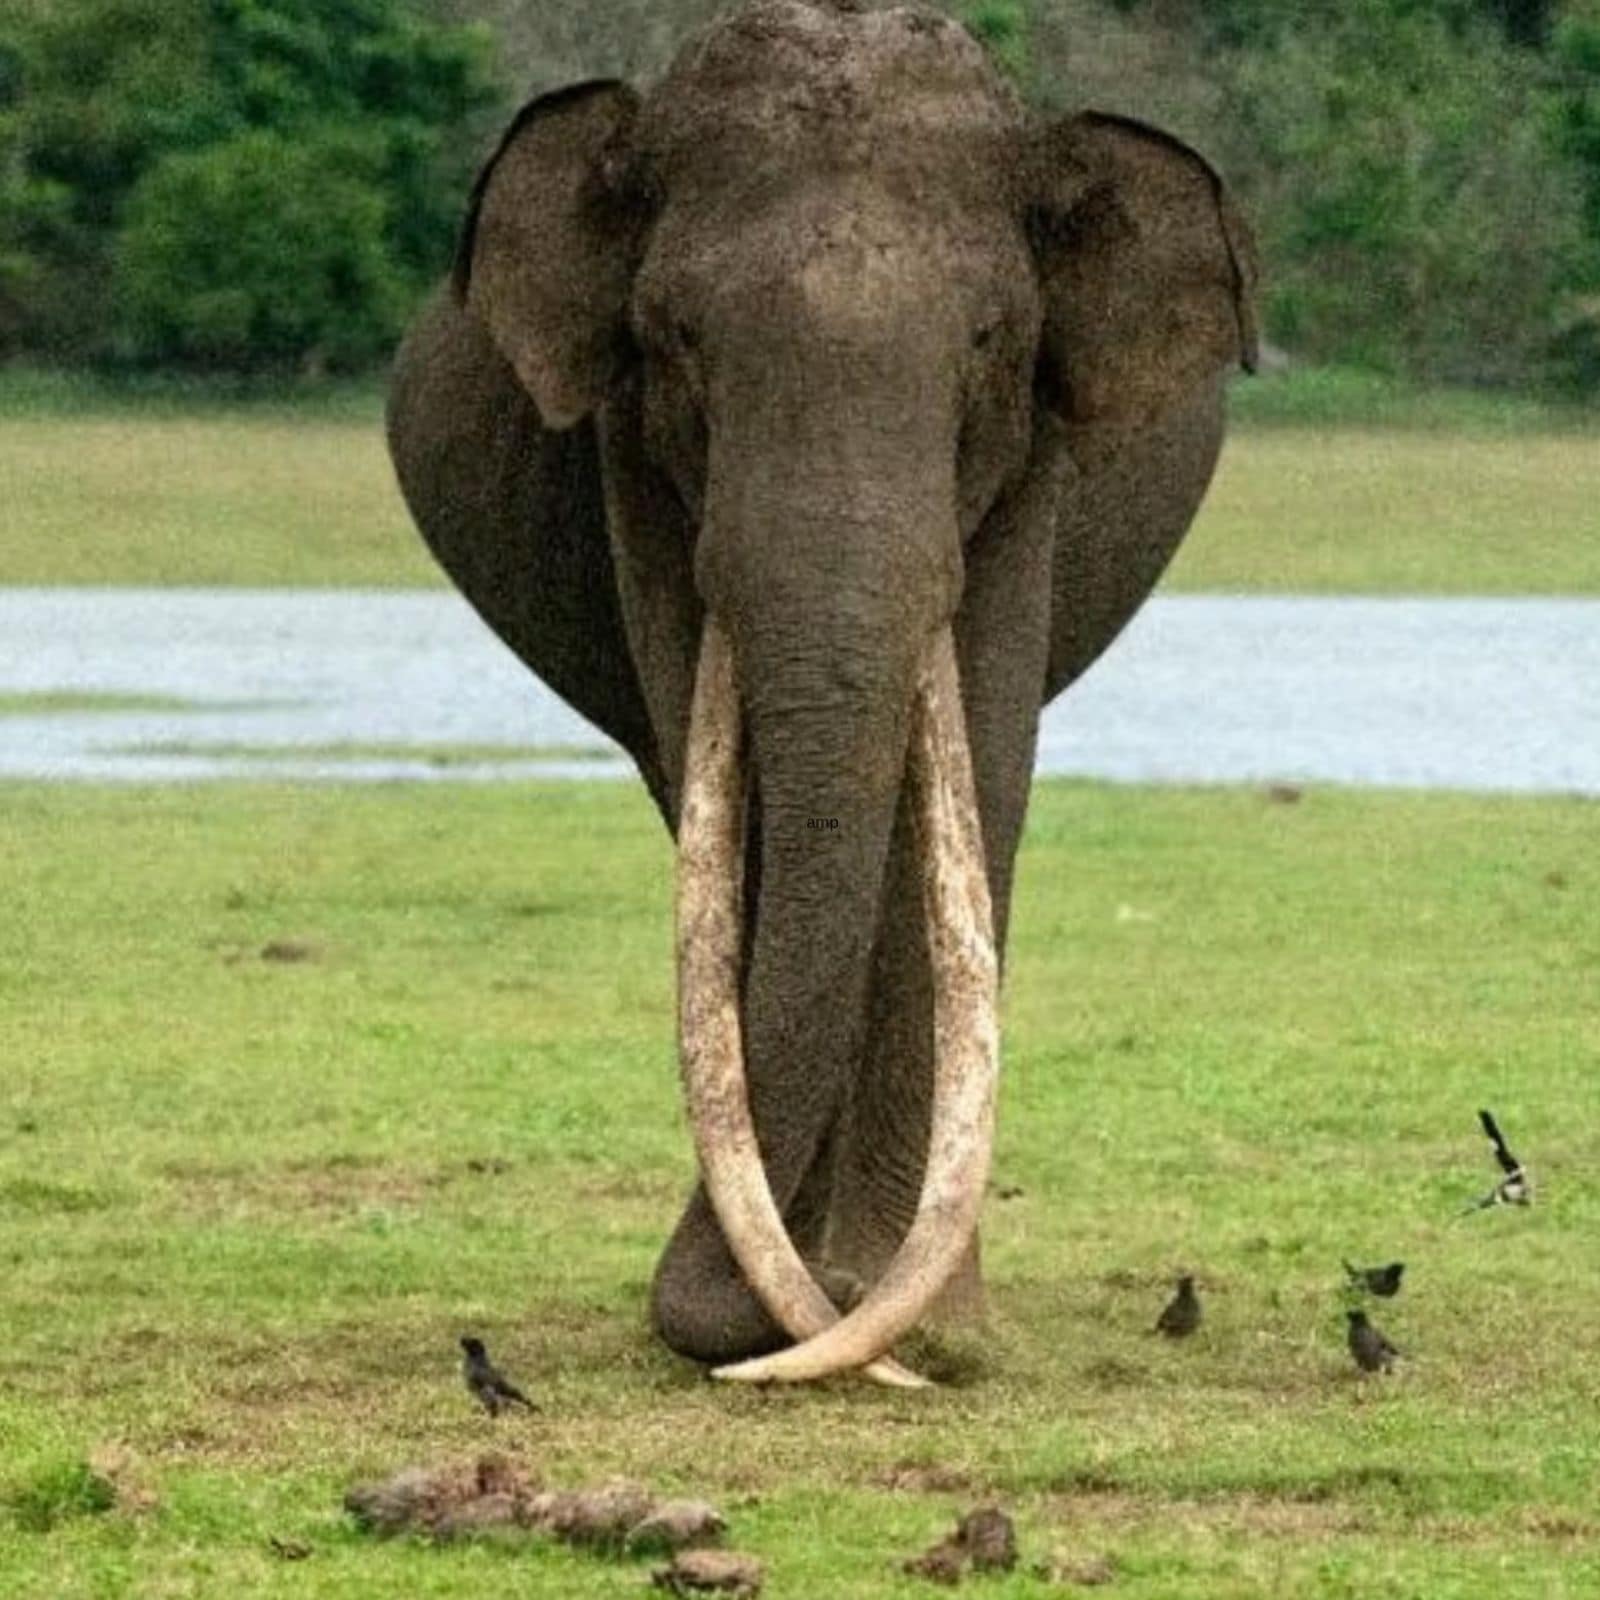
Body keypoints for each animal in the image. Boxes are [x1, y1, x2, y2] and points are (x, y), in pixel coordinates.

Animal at [386, 0, 1258, 1386]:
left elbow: (981, 773)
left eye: (988, 341)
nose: (790, 1309)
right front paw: (811, 1300)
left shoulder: (1030, 459)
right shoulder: (632, 456)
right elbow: (727, 789)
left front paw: (933, 1332)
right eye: (677, 339)